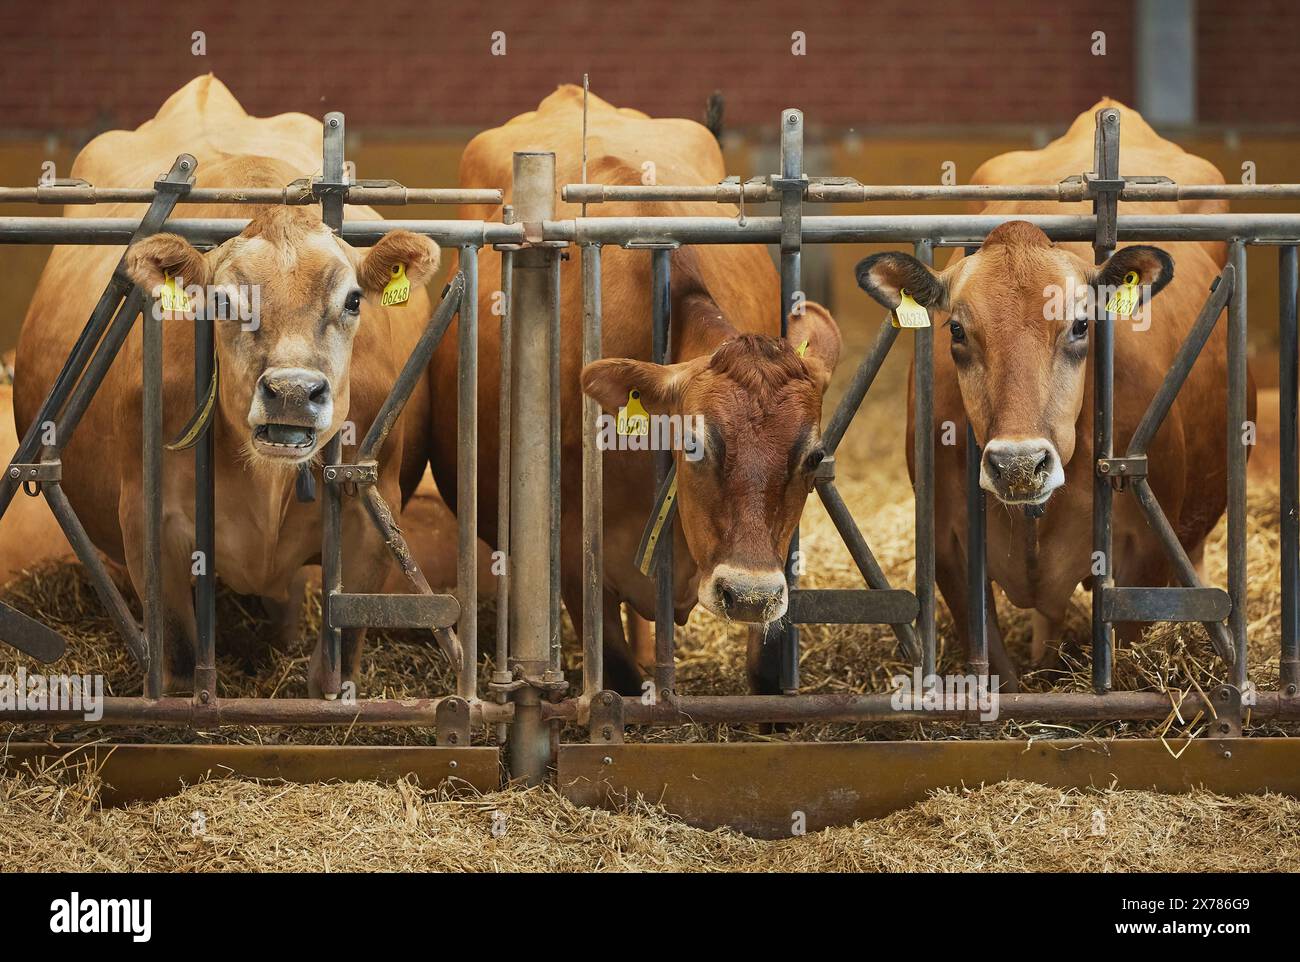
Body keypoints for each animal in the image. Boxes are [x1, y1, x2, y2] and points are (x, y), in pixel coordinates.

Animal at [13, 75, 439, 697]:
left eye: (354, 300)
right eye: (222, 300)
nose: (293, 392)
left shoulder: (368, 515)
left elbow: (339, 654)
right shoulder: (150, 524)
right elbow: (181, 654)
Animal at [430, 87, 842, 694]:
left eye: (814, 456)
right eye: (692, 444)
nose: (747, 595)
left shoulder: (774, 561)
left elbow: (768, 668)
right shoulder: (576, 563)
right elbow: (616, 675)